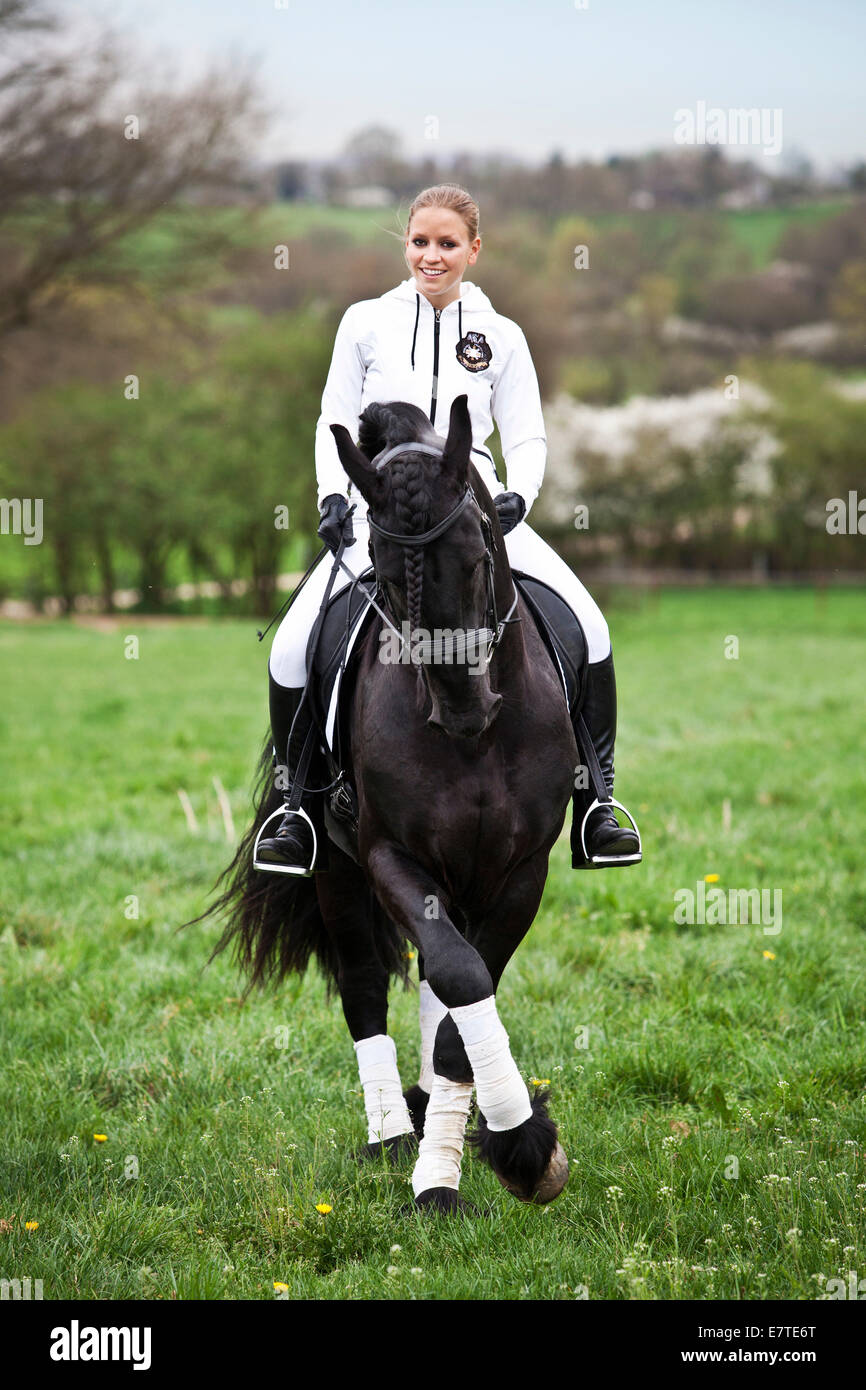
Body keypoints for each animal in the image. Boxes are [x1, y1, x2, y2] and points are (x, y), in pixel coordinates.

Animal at [205, 393, 579, 1213]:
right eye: (384, 575)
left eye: (479, 554)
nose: (464, 709)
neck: (476, 742)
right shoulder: (387, 855)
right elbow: (461, 976)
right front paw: (514, 1148)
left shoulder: (522, 869)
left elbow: (460, 1006)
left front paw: (486, 1151)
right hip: (338, 872)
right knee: (365, 985)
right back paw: (391, 1135)